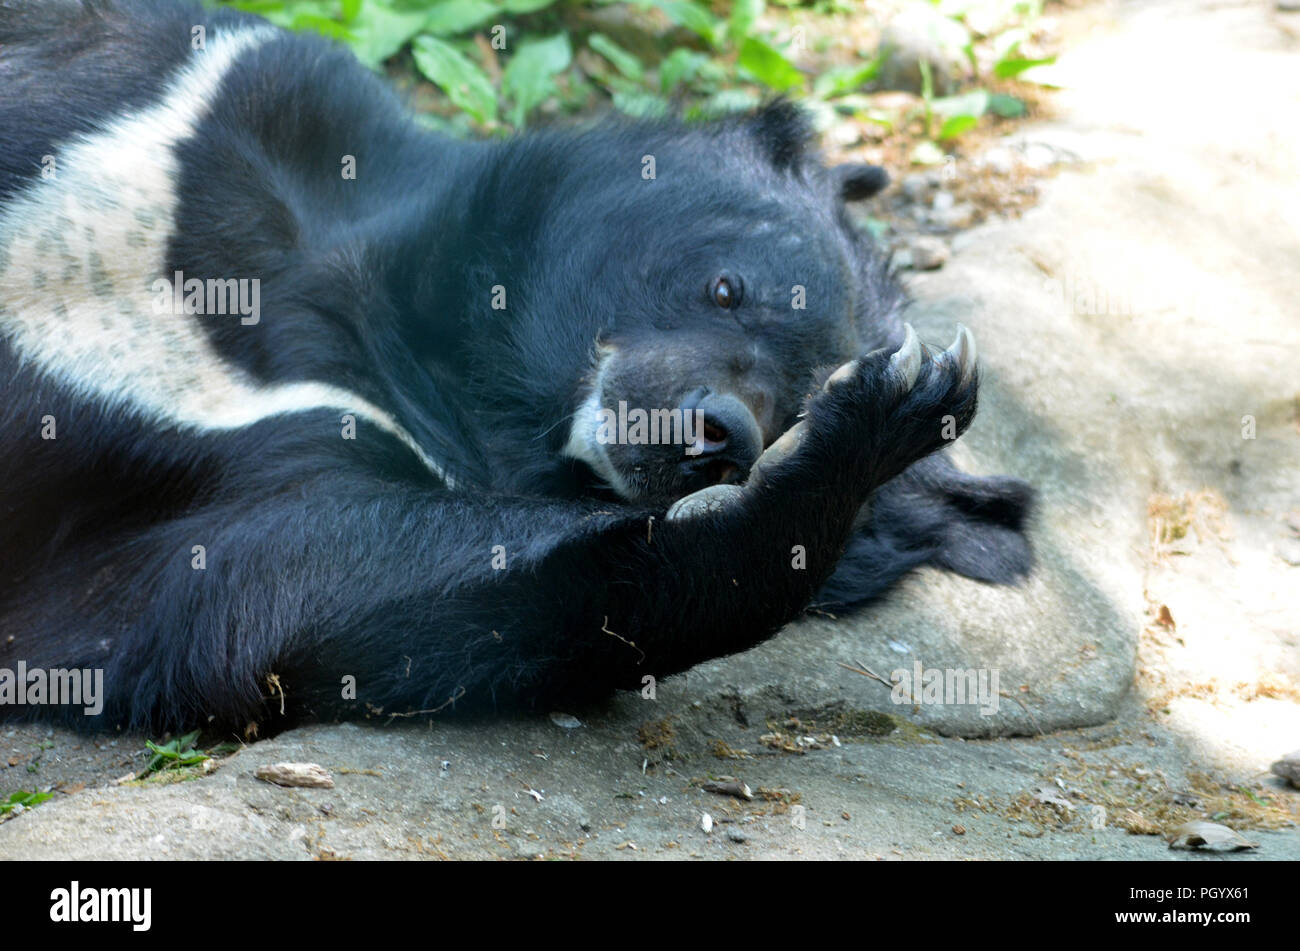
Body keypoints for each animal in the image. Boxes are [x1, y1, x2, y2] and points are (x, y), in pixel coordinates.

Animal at [0, 0, 1033, 731]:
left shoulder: (230, 473)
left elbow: (278, 591)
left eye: (789, 407)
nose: (718, 437)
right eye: (725, 286)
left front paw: (871, 432)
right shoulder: (210, 79)